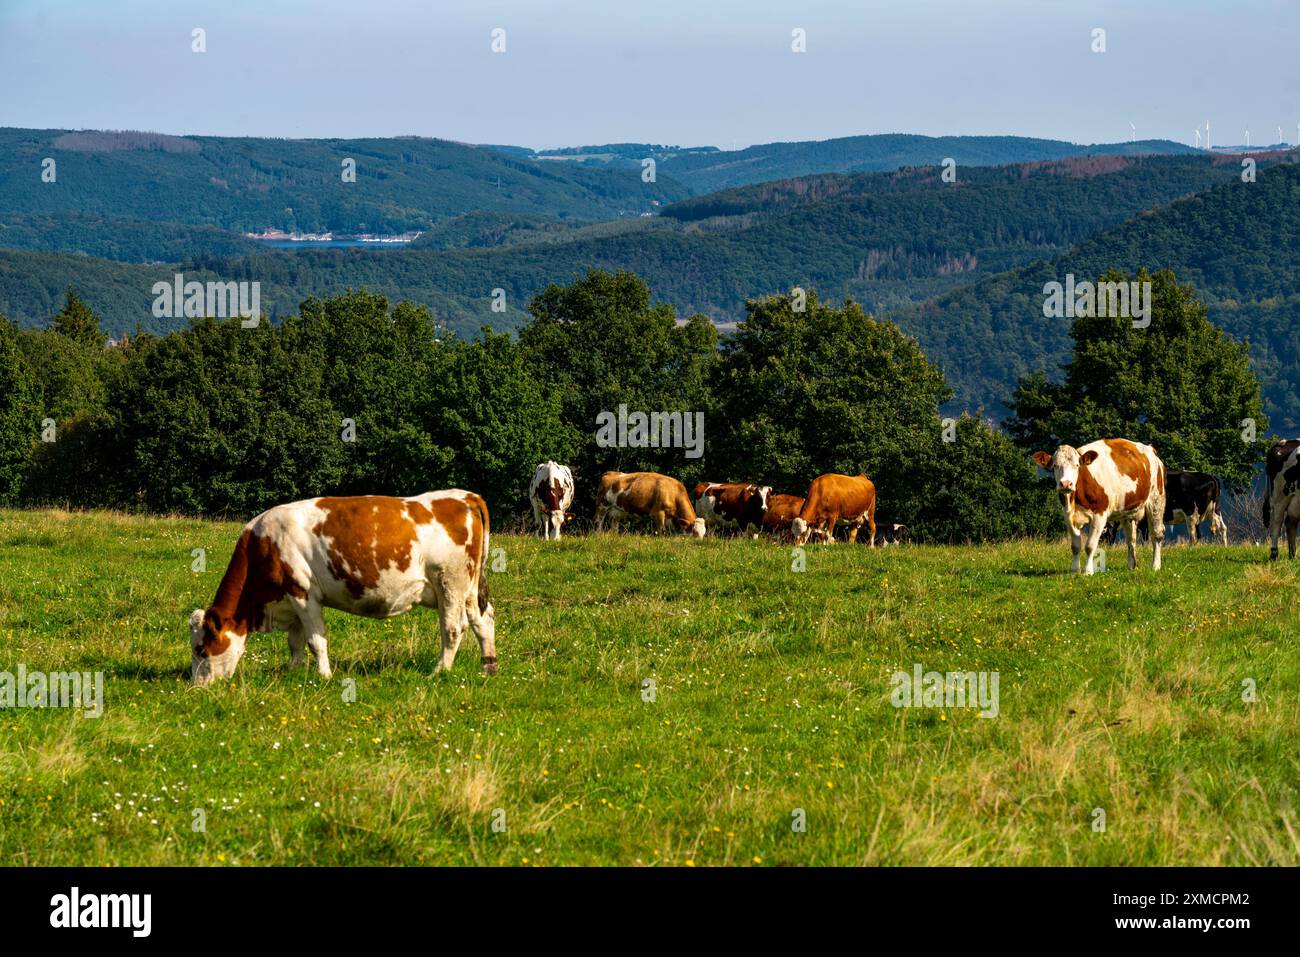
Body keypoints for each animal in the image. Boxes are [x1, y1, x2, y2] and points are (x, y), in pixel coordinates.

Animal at [188, 491, 496, 686]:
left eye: (201, 649)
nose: (197, 687)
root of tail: (466, 496)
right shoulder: (292, 598)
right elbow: (295, 642)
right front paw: (291, 671)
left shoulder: (303, 593)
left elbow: (316, 641)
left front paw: (323, 676)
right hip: (470, 590)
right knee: (483, 619)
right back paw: (488, 665)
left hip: (450, 583)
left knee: (453, 629)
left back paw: (438, 672)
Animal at [1032, 439, 1166, 574]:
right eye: (1055, 465)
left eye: (1077, 465)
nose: (1066, 484)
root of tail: (1150, 449)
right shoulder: (1068, 515)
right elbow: (1075, 546)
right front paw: (1075, 570)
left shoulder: (1100, 515)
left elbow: (1090, 546)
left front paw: (1088, 571)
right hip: (1127, 512)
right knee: (1131, 539)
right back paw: (1131, 566)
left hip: (1156, 500)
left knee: (1157, 535)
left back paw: (1156, 566)